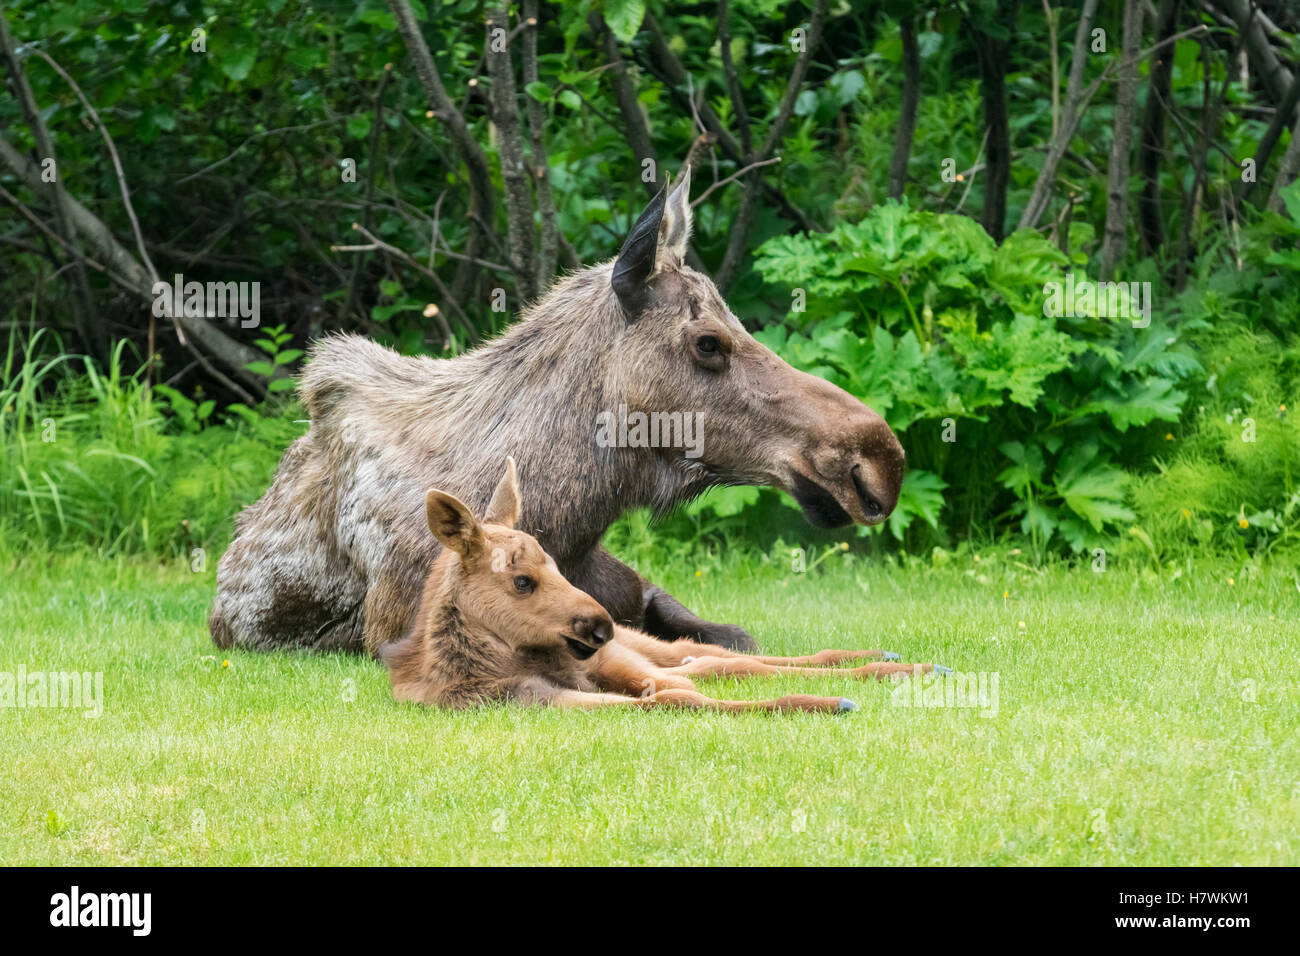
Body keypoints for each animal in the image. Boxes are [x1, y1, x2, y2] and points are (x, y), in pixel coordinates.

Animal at [382, 459, 940, 714]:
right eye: (522, 581)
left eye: (558, 566)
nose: (600, 625)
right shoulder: (547, 700)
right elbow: (681, 697)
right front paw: (816, 705)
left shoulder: (608, 663)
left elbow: (691, 686)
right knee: (715, 663)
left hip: (641, 644)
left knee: (731, 657)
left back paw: (899, 663)